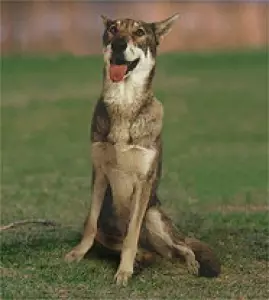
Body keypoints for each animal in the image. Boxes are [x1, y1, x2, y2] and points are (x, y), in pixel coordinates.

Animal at [65, 13, 220, 286]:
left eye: (139, 32)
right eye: (113, 29)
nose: (118, 44)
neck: (124, 103)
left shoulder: (143, 182)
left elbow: (131, 236)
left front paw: (124, 272)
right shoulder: (99, 174)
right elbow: (91, 225)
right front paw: (77, 254)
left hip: (153, 216)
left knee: (183, 247)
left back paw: (189, 264)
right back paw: (143, 258)